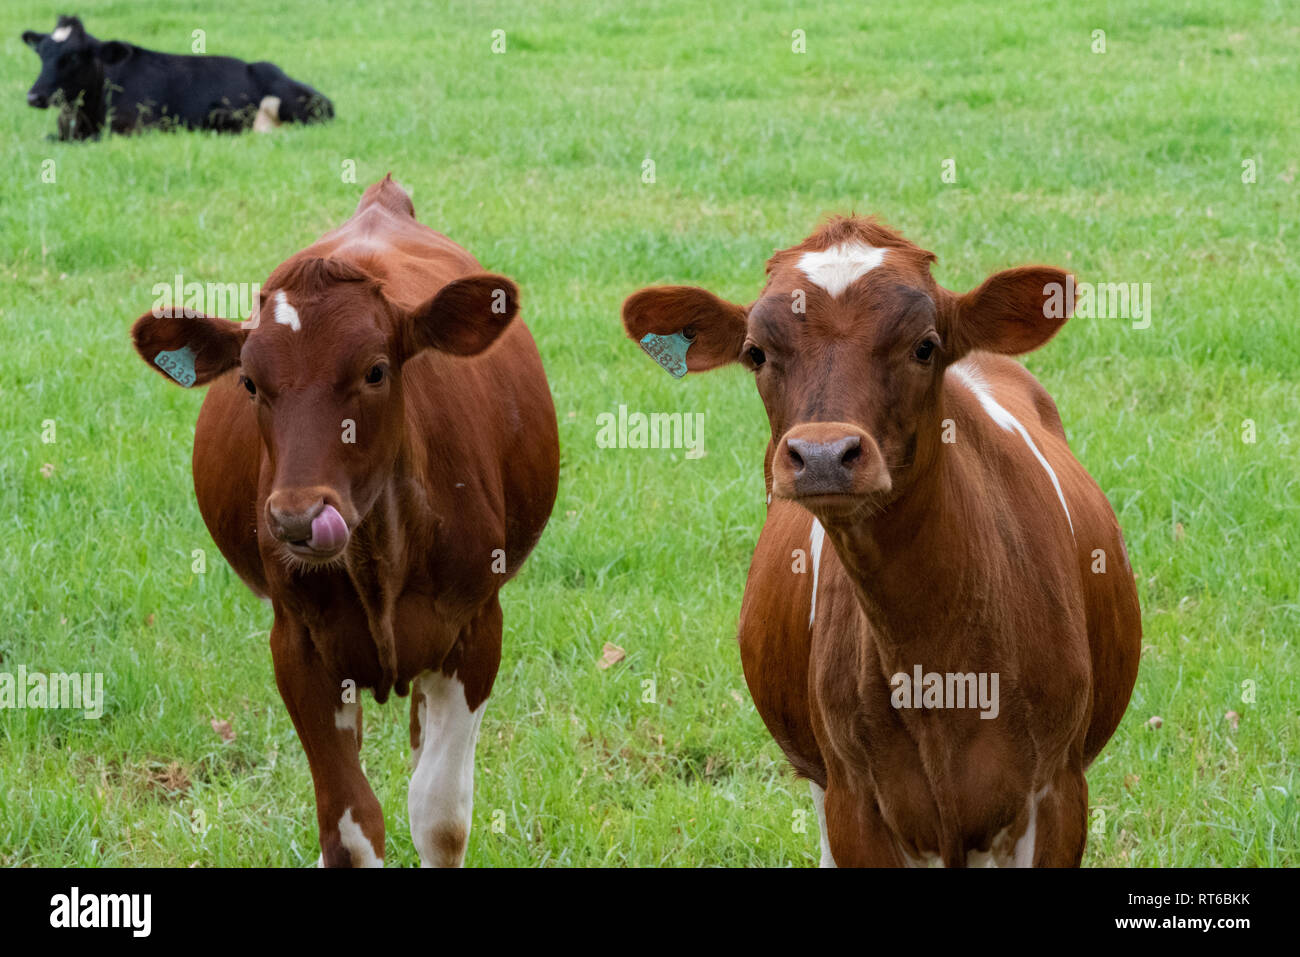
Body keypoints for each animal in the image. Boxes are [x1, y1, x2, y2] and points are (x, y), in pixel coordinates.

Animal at [130, 175, 559, 867]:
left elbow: (440, 816)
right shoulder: (298, 646)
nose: (298, 518)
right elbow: (351, 824)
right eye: (249, 383)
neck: (380, 551)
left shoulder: (477, 628)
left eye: (375, 370)